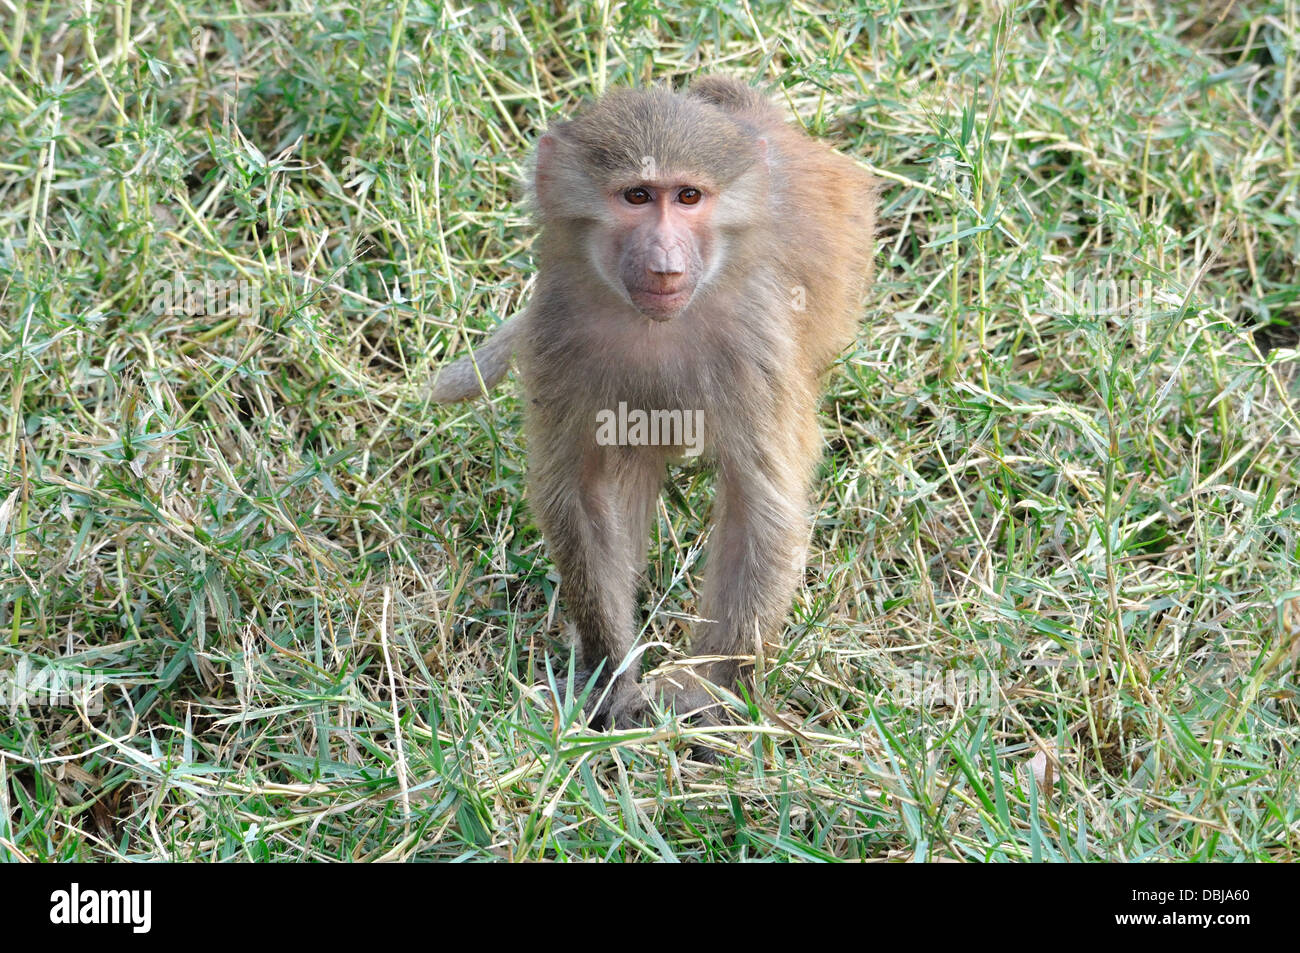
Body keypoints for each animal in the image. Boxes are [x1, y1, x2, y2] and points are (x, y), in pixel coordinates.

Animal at [432, 76, 877, 729]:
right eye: (637, 196)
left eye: (688, 196)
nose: (665, 265)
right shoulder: (556, 330)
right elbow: (583, 494)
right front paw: (611, 682)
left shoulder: (755, 344)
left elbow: (759, 505)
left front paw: (707, 693)